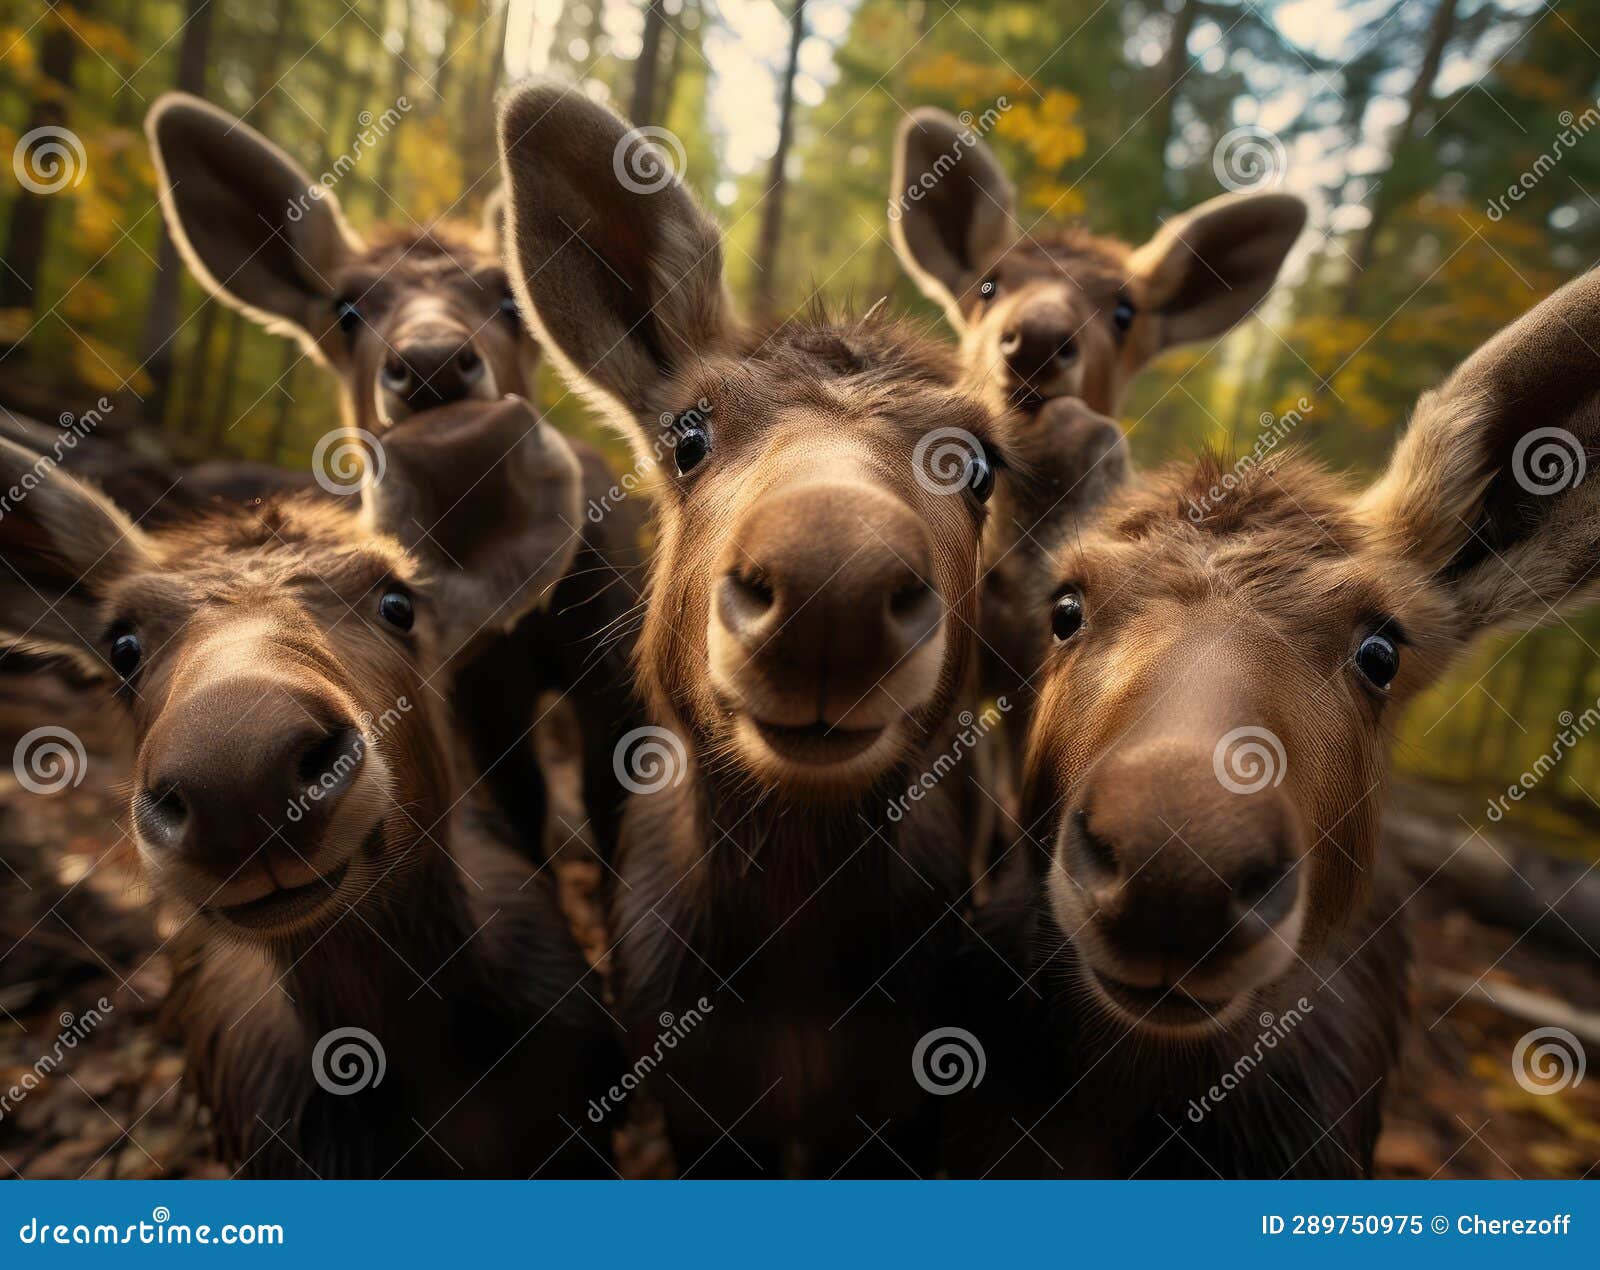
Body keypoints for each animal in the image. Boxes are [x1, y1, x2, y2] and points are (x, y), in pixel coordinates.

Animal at [145, 92, 644, 864]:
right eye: (346, 309)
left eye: (511, 299)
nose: (434, 363)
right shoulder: (479, 698)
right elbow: (527, 822)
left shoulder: (613, 663)